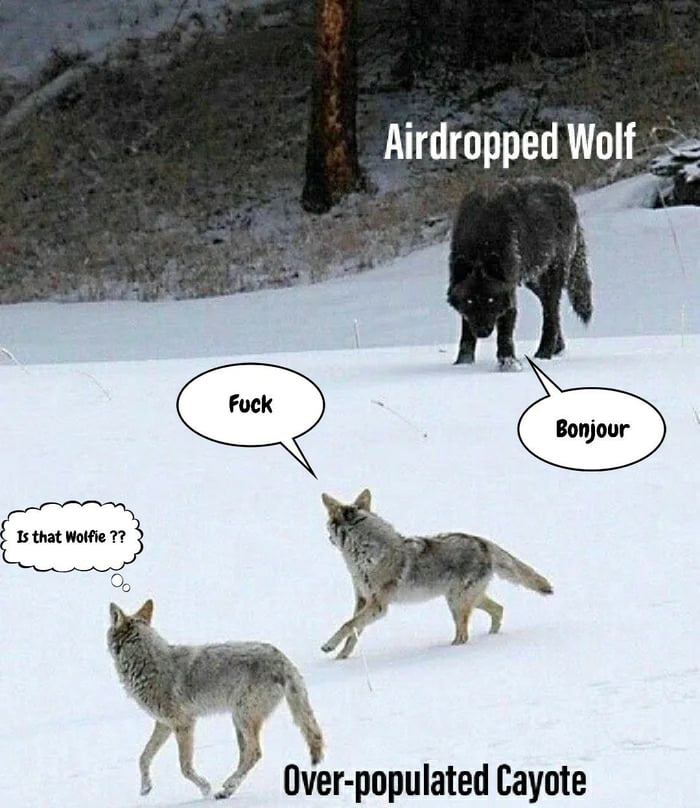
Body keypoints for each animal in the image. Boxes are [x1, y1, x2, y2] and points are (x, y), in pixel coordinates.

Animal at [107, 600, 323, 800]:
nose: (110, 606)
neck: (145, 664)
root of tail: (283, 659)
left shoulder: (184, 725)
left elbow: (185, 767)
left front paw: (205, 788)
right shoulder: (164, 724)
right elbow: (143, 757)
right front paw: (145, 787)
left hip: (243, 718)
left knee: (255, 753)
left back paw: (228, 784)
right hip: (238, 722)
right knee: (246, 755)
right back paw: (227, 791)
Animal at [321, 490, 552, 659]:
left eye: (328, 525)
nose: (327, 538)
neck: (364, 555)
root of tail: (483, 542)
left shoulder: (378, 606)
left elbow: (347, 624)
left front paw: (328, 646)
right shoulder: (362, 601)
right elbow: (353, 633)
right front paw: (341, 658)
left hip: (457, 603)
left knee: (464, 634)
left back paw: (449, 649)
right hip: (466, 600)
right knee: (498, 609)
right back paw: (491, 637)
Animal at [447, 177, 592, 370]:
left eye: (491, 300)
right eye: (470, 301)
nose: (483, 332)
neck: (480, 241)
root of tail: (565, 188)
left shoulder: (508, 290)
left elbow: (505, 332)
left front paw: (508, 363)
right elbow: (466, 334)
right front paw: (462, 363)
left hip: (552, 275)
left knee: (551, 313)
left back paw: (544, 353)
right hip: (533, 280)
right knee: (548, 306)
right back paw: (557, 348)